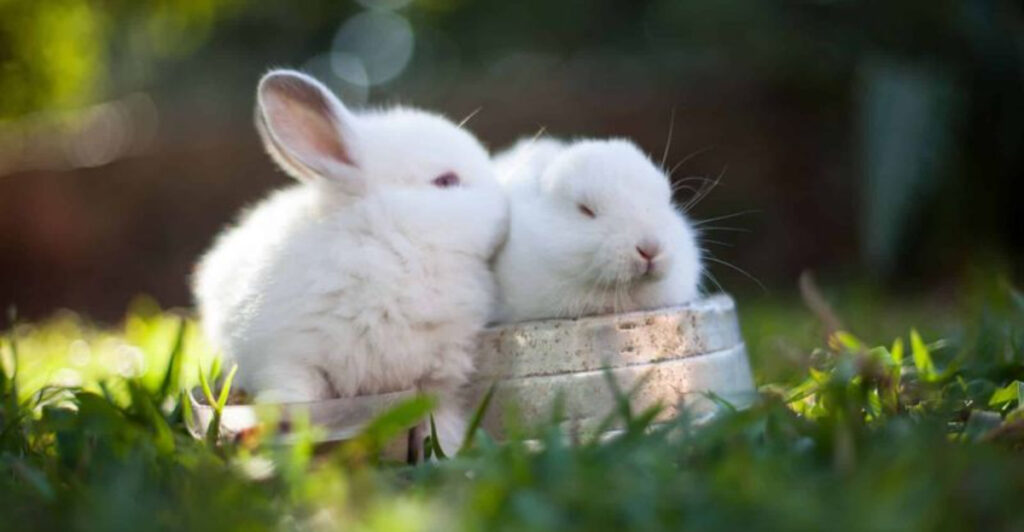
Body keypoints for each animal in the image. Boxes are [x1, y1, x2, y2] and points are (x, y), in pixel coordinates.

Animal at [192, 69, 508, 452]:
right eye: (446, 181)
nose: (507, 207)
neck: (392, 247)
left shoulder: (438, 378)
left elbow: (441, 423)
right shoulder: (291, 359)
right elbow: (295, 399)